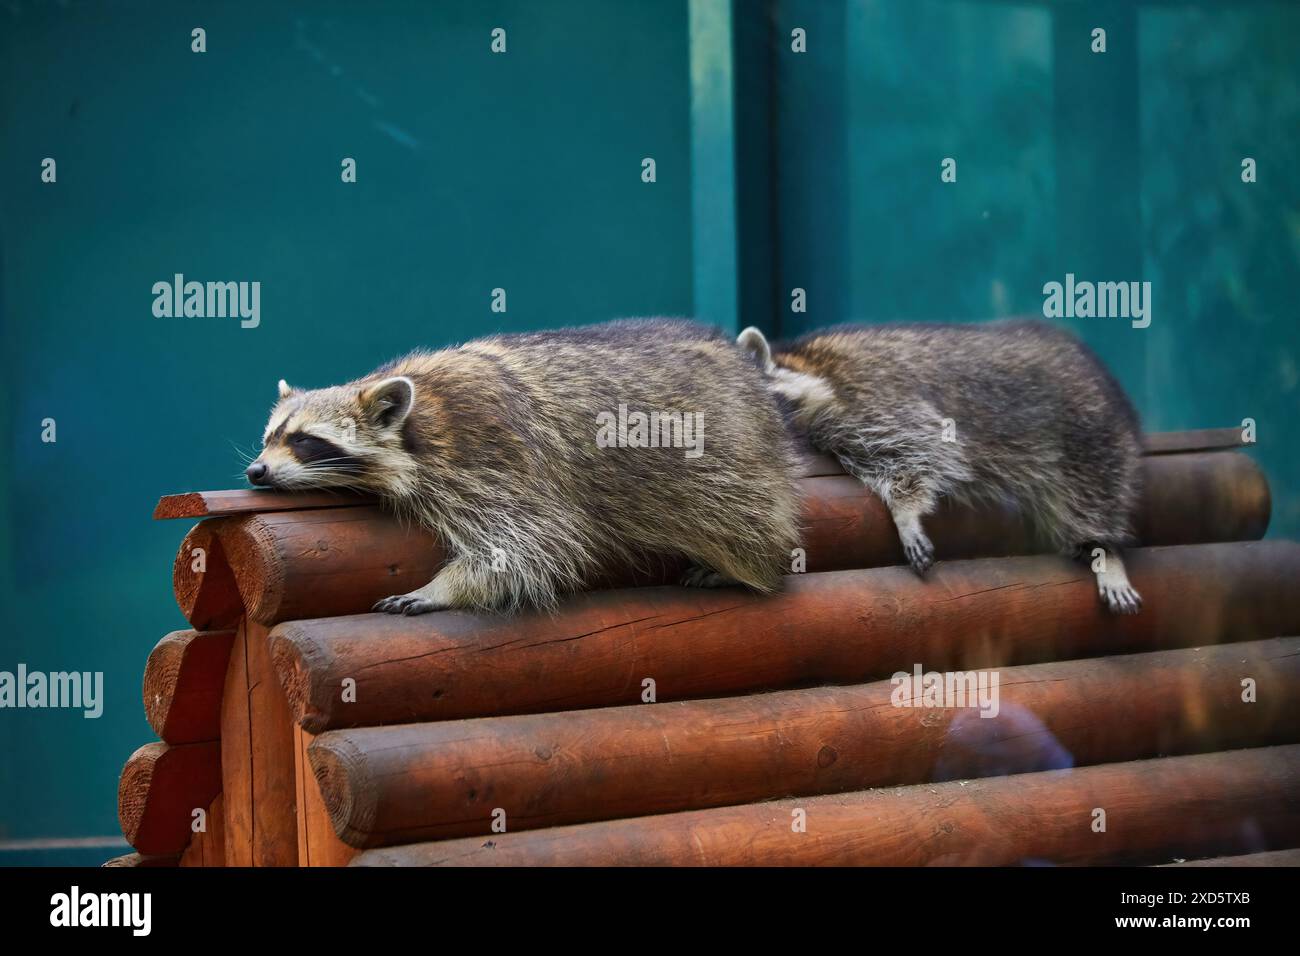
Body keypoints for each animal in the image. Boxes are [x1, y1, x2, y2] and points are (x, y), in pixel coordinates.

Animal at [246, 319, 801, 614]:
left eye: (304, 441)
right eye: (271, 436)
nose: (257, 472)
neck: (418, 413)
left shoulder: (489, 452)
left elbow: (531, 544)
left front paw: (442, 589)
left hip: (725, 451)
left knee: (739, 512)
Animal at [737, 320, 1144, 614]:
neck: (805, 364)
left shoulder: (871, 398)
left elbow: (923, 449)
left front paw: (905, 512)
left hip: (1087, 432)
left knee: (1092, 494)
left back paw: (1104, 551)